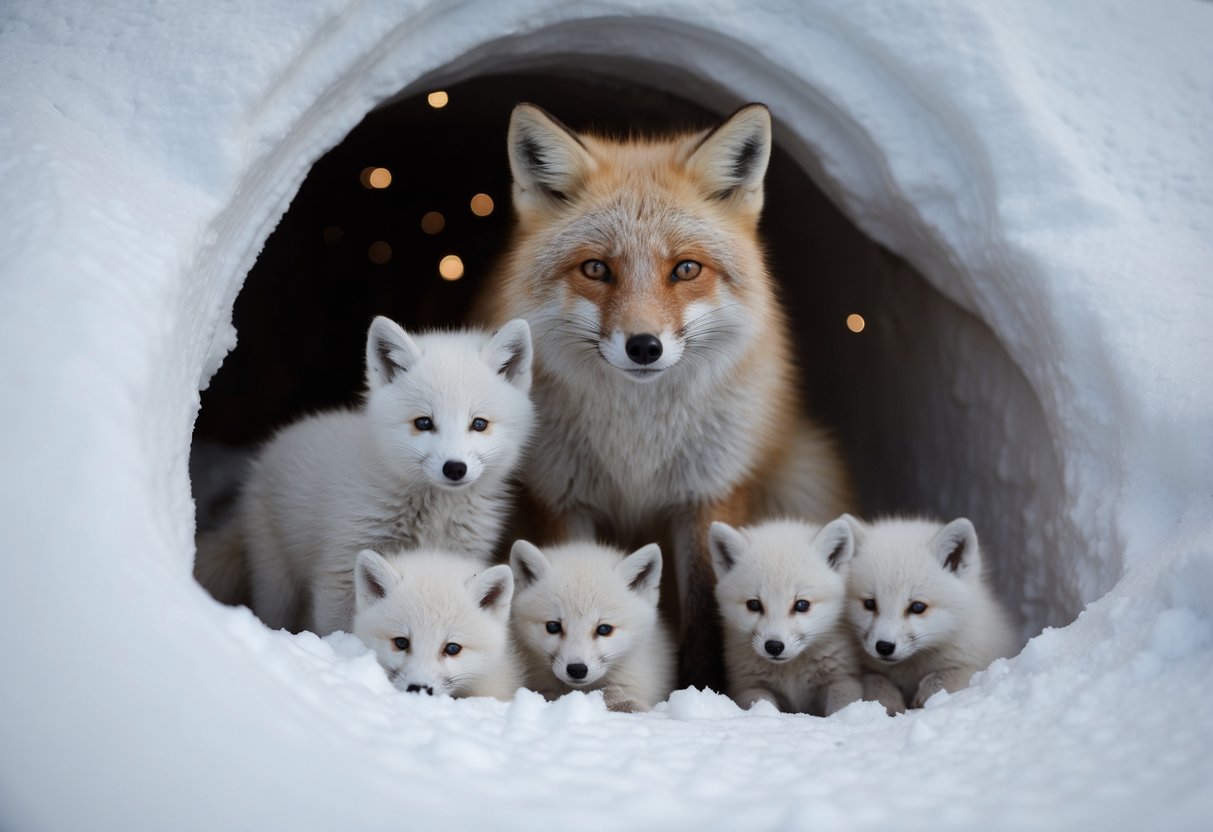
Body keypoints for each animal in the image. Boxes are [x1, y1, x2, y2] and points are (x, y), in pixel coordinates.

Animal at [192, 316, 535, 635]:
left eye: (479, 424)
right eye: (423, 423)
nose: (454, 468)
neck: (430, 516)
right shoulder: (342, 571)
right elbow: (342, 630)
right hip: (277, 579)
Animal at [476, 102, 853, 689]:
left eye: (686, 269)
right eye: (596, 268)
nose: (644, 346)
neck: (636, 440)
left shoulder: (708, 491)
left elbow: (705, 611)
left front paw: (701, 689)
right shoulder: (560, 491)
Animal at [709, 518, 863, 715]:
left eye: (802, 605)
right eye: (754, 605)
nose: (774, 646)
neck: (790, 672)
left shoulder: (842, 679)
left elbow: (841, 707)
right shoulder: (749, 687)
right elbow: (763, 705)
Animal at [843, 515, 1018, 713]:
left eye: (918, 607)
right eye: (869, 603)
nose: (884, 647)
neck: (910, 668)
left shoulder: (972, 659)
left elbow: (949, 674)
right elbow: (876, 679)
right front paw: (889, 704)